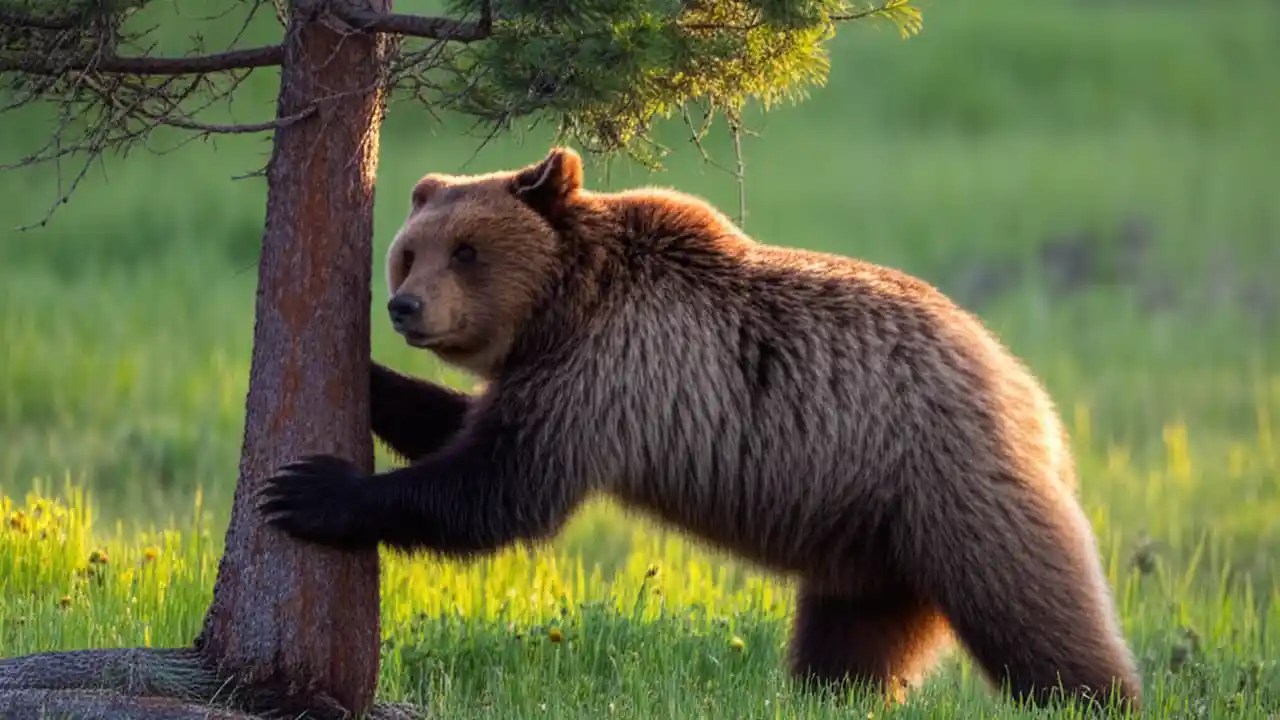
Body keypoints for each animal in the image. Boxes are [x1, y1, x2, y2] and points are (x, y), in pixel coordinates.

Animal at [259, 146, 1143, 711]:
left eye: (467, 251)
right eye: (410, 252)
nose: (405, 306)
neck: (563, 306)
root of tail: (1028, 387)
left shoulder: (610, 369)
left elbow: (500, 486)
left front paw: (310, 489)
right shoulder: (563, 374)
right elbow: (463, 430)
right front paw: (364, 380)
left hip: (949, 481)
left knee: (1033, 606)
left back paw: (1102, 694)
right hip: (871, 529)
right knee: (855, 633)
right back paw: (831, 692)